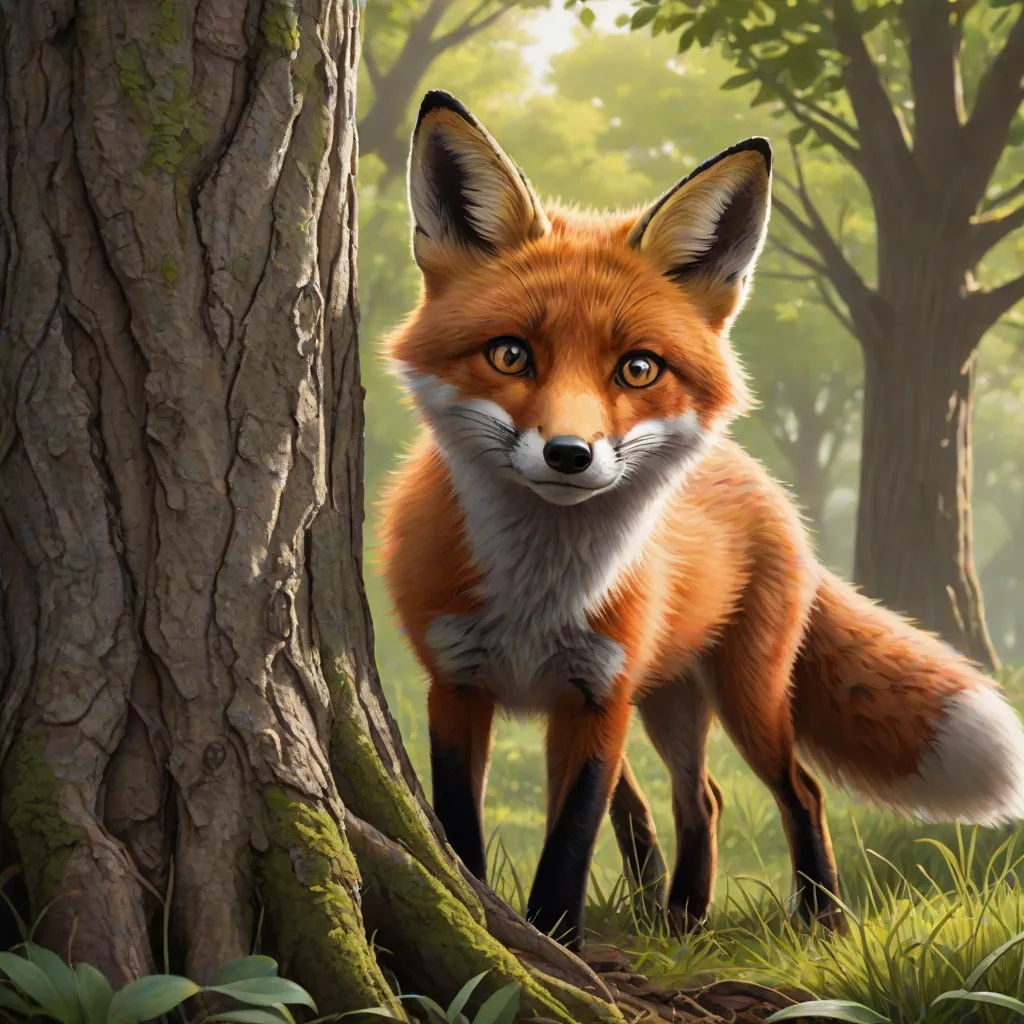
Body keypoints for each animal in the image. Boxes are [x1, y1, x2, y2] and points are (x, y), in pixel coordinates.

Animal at [379, 89, 1024, 952]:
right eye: (510, 355)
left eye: (638, 368)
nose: (569, 454)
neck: (538, 592)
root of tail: (760, 479)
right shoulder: (460, 684)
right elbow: (461, 834)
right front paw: (497, 929)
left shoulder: (596, 696)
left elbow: (568, 842)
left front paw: (553, 946)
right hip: (663, 700)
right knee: (696, 798)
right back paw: (679, 911)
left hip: (742, 694)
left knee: (797, 789)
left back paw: (818, 916)